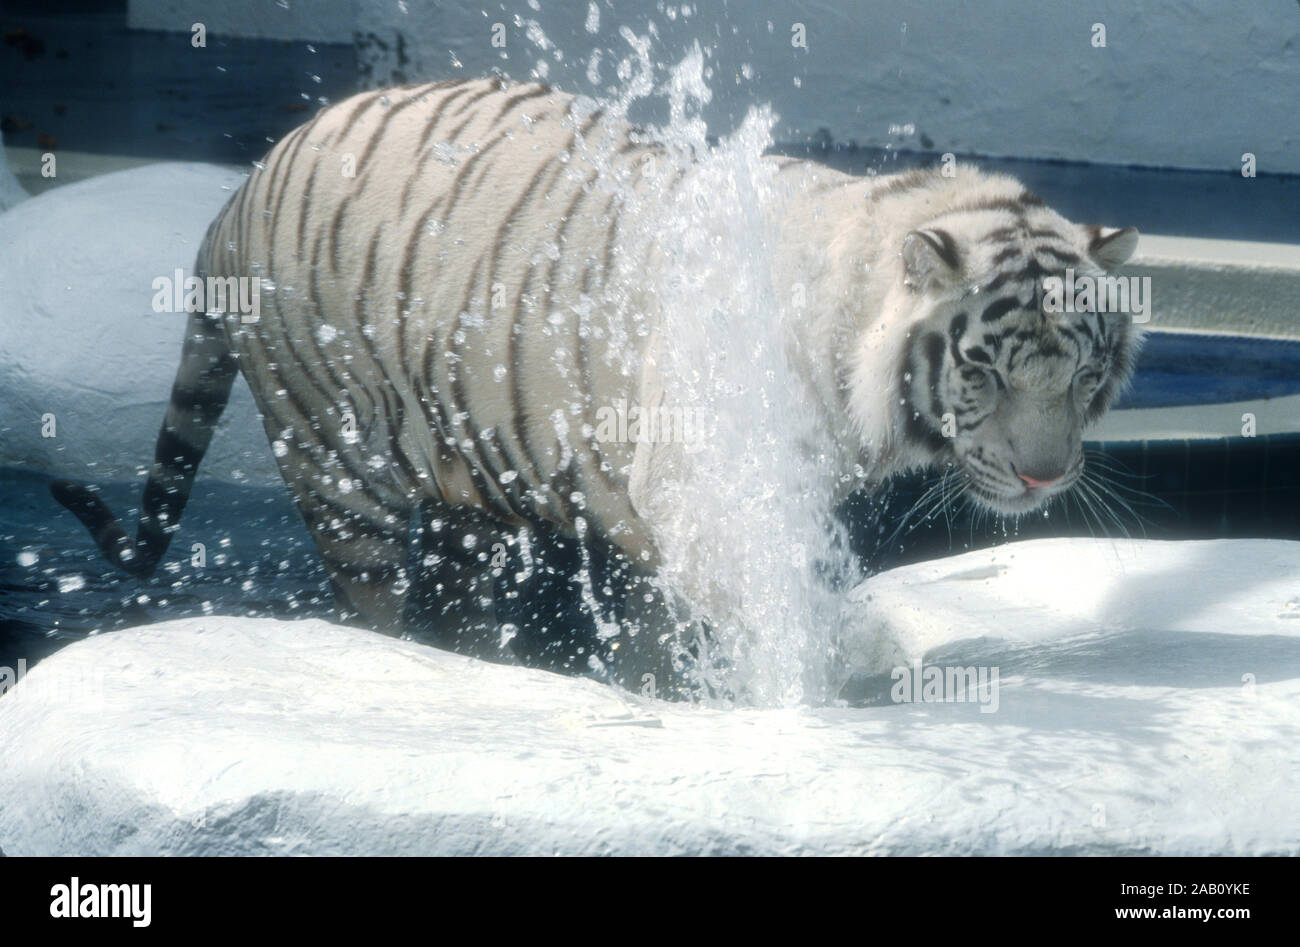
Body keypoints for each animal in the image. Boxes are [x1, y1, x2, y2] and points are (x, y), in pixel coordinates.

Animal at [51, 77, 1141, 690]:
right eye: (984, 367)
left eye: (1087, 372)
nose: (1045, 478)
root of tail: (241, 188)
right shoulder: (700, 489)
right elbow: (753, 604)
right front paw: (795, 688)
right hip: (337, 456)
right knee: (374, 594)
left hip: (468, 481)